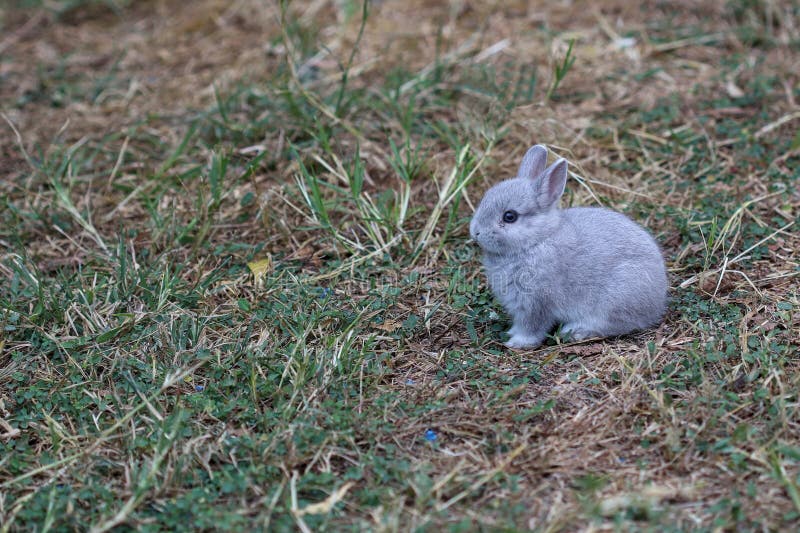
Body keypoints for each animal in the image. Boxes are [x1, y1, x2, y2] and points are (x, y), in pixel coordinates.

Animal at [469, 144, 668, 349]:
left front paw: (517, 343)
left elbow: (532, 327)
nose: (475, 232)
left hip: (616, 298)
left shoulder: (536, 302)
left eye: (510, 216)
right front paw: (512, 334)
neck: (537, 240)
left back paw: (576, 331)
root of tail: (658, 300)